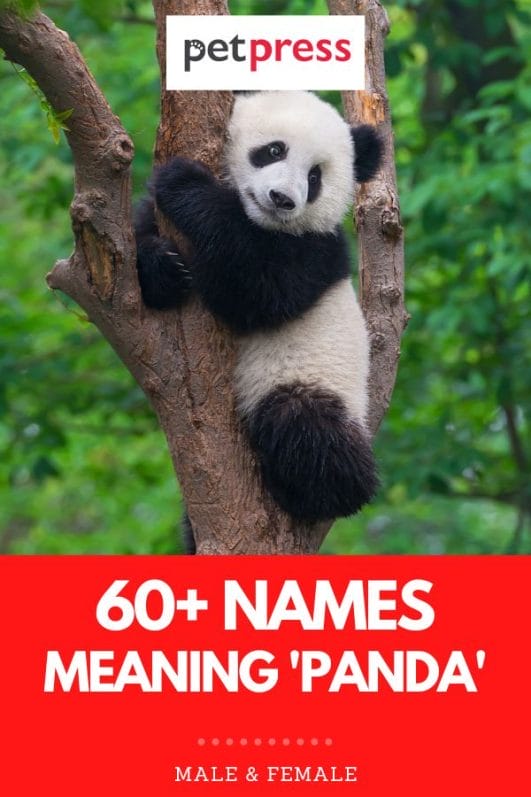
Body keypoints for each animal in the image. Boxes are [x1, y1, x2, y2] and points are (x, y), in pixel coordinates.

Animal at [135, 90, 382, 541]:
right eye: (273, 151)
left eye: (315, 177)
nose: (283, 199)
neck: (261, 223)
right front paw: (163, 269)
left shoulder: (316, 251)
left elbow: (256, 291)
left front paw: (184, 184)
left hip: (314, 382)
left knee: (306, 427)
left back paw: (316, 492)